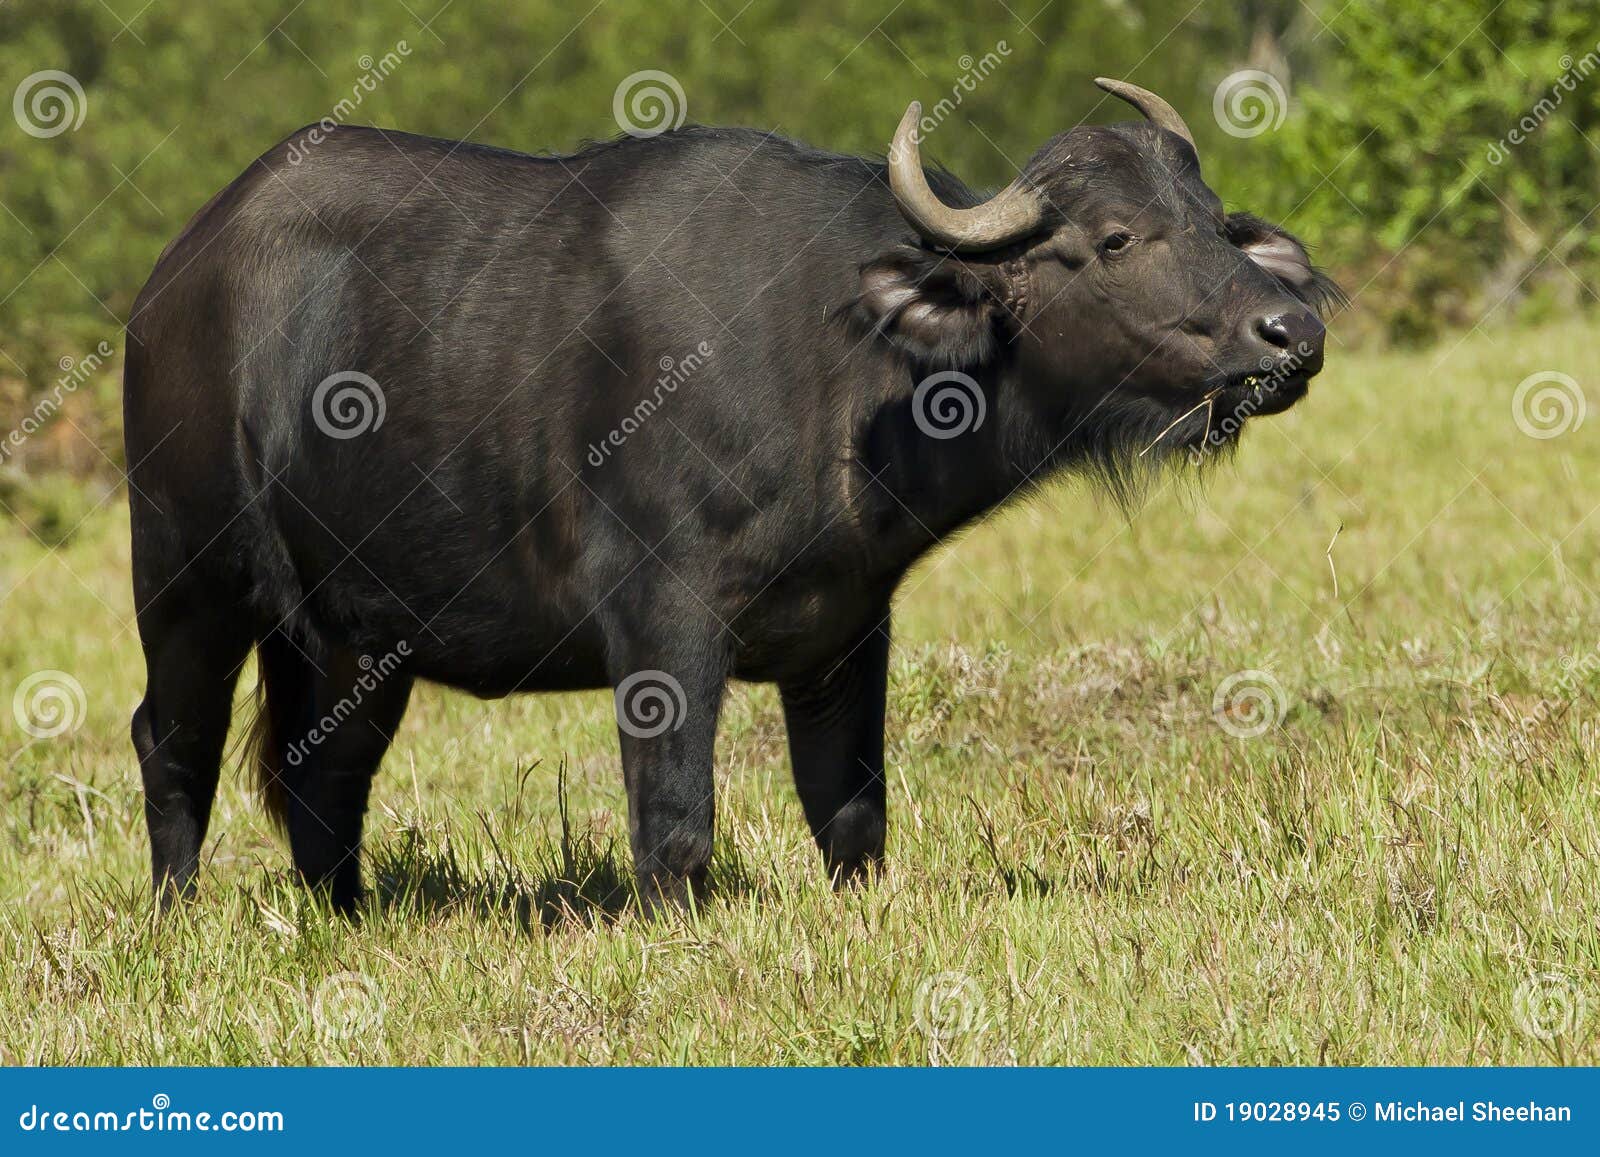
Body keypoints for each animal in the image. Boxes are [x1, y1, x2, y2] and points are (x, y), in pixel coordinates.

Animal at [124, 79, 1337, 913]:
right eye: (1115, 238)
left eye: (1217, 218)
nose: (1292, 332)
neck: (841, 369)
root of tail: (174, 277)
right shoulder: (662, 624)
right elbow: (674, 820)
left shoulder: (849, 627)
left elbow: (852, 810)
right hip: (185, 580)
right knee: (171, 741)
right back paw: (177, 912)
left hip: (356, 638)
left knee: (323, 774)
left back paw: (347, 913)